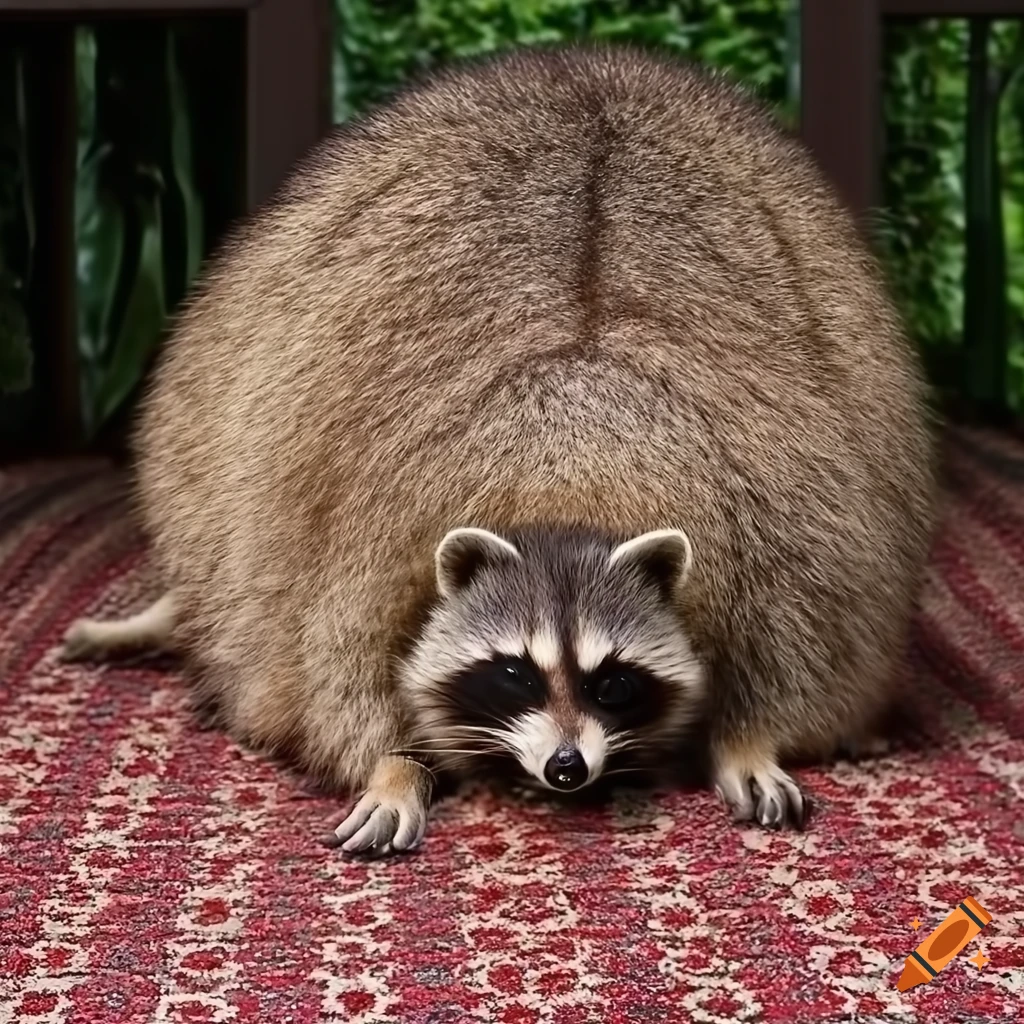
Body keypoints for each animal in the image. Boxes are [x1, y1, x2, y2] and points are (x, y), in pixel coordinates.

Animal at [61, 43, 937, 855]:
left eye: (612, 682)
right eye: (515, 673)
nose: (566, 769)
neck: (571, 485)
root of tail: (585, 60)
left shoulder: (780, 524)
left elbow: (797, 648)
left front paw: (746, 739)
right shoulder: (358, 543)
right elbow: (336, 678)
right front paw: (394, 766)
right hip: (213, 427)